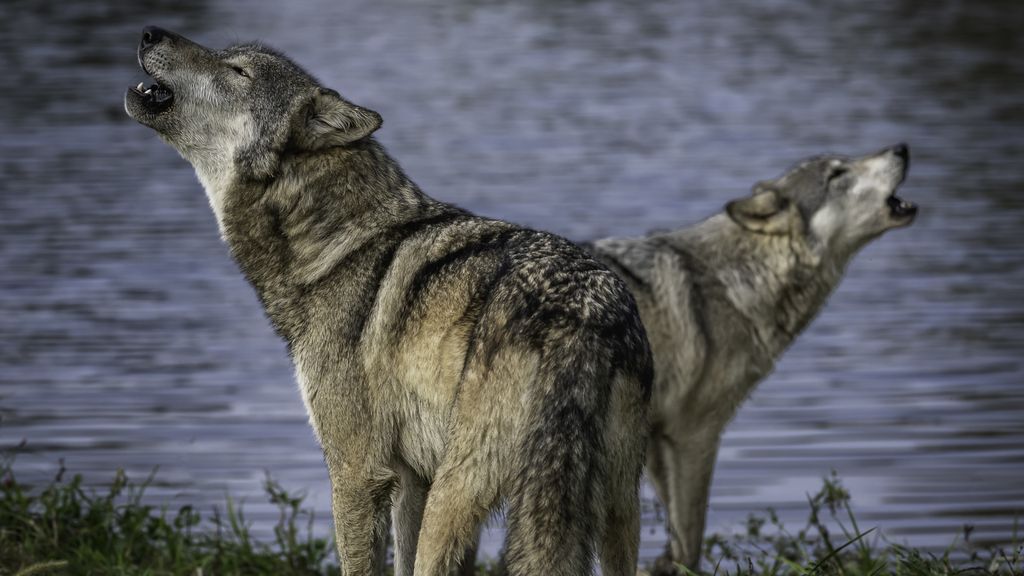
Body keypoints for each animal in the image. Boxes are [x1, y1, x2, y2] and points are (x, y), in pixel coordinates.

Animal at [124, 26, 653, 576]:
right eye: (226, 57)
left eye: (237, 71)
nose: (150, 32)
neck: (337, 246)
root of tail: (585, 317)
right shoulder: (410, 479)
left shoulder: (357, 472)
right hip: (617, 512)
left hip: (456, 497)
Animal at [589, 144, 918, 572]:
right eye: (837, 175)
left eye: (844, 164)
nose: (902, 148)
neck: (735, 280)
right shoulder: (695, 434)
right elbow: (691, 536)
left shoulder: (658, 436)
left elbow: (676, 537)